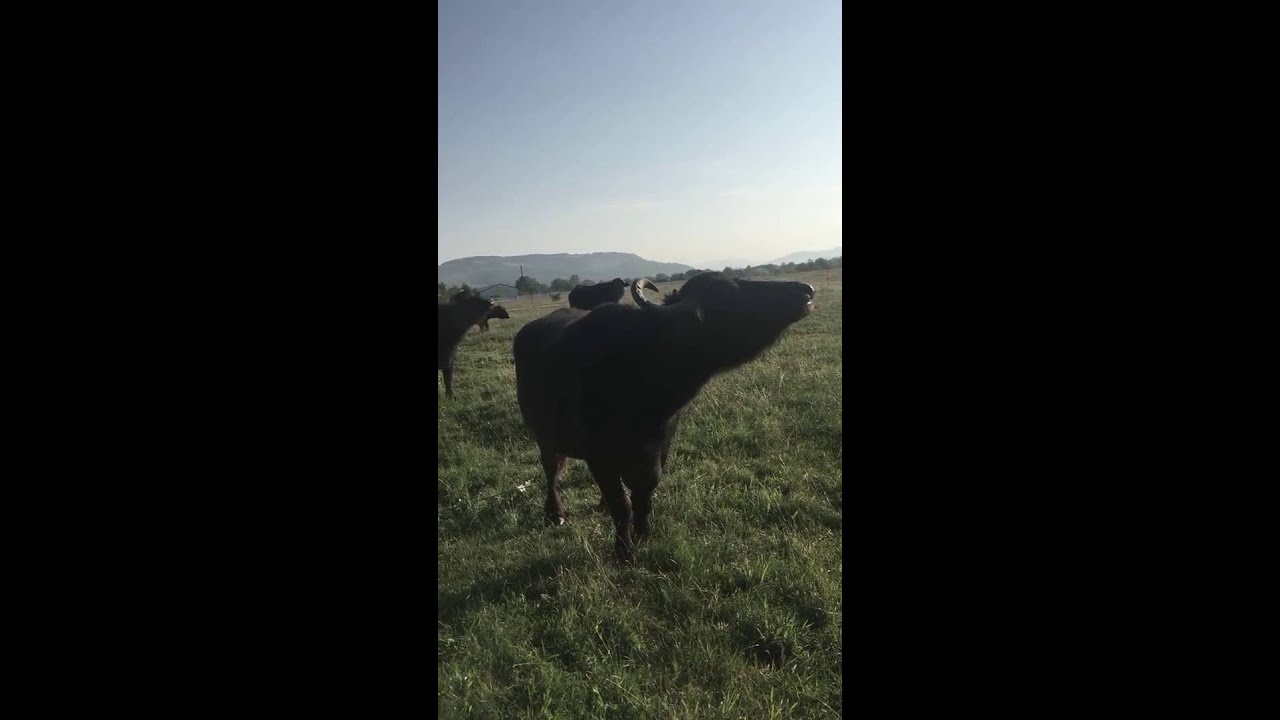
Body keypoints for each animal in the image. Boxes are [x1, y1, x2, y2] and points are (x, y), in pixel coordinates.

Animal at [513, 272, 815, 562]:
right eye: (728, 292)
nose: (806, 290)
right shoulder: (600, 457)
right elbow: (622, 505)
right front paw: (624, 551)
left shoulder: (660, 447)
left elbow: (644, 494)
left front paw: (643, 532)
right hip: (543, 434)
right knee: (552, 470)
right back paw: (555, 512)